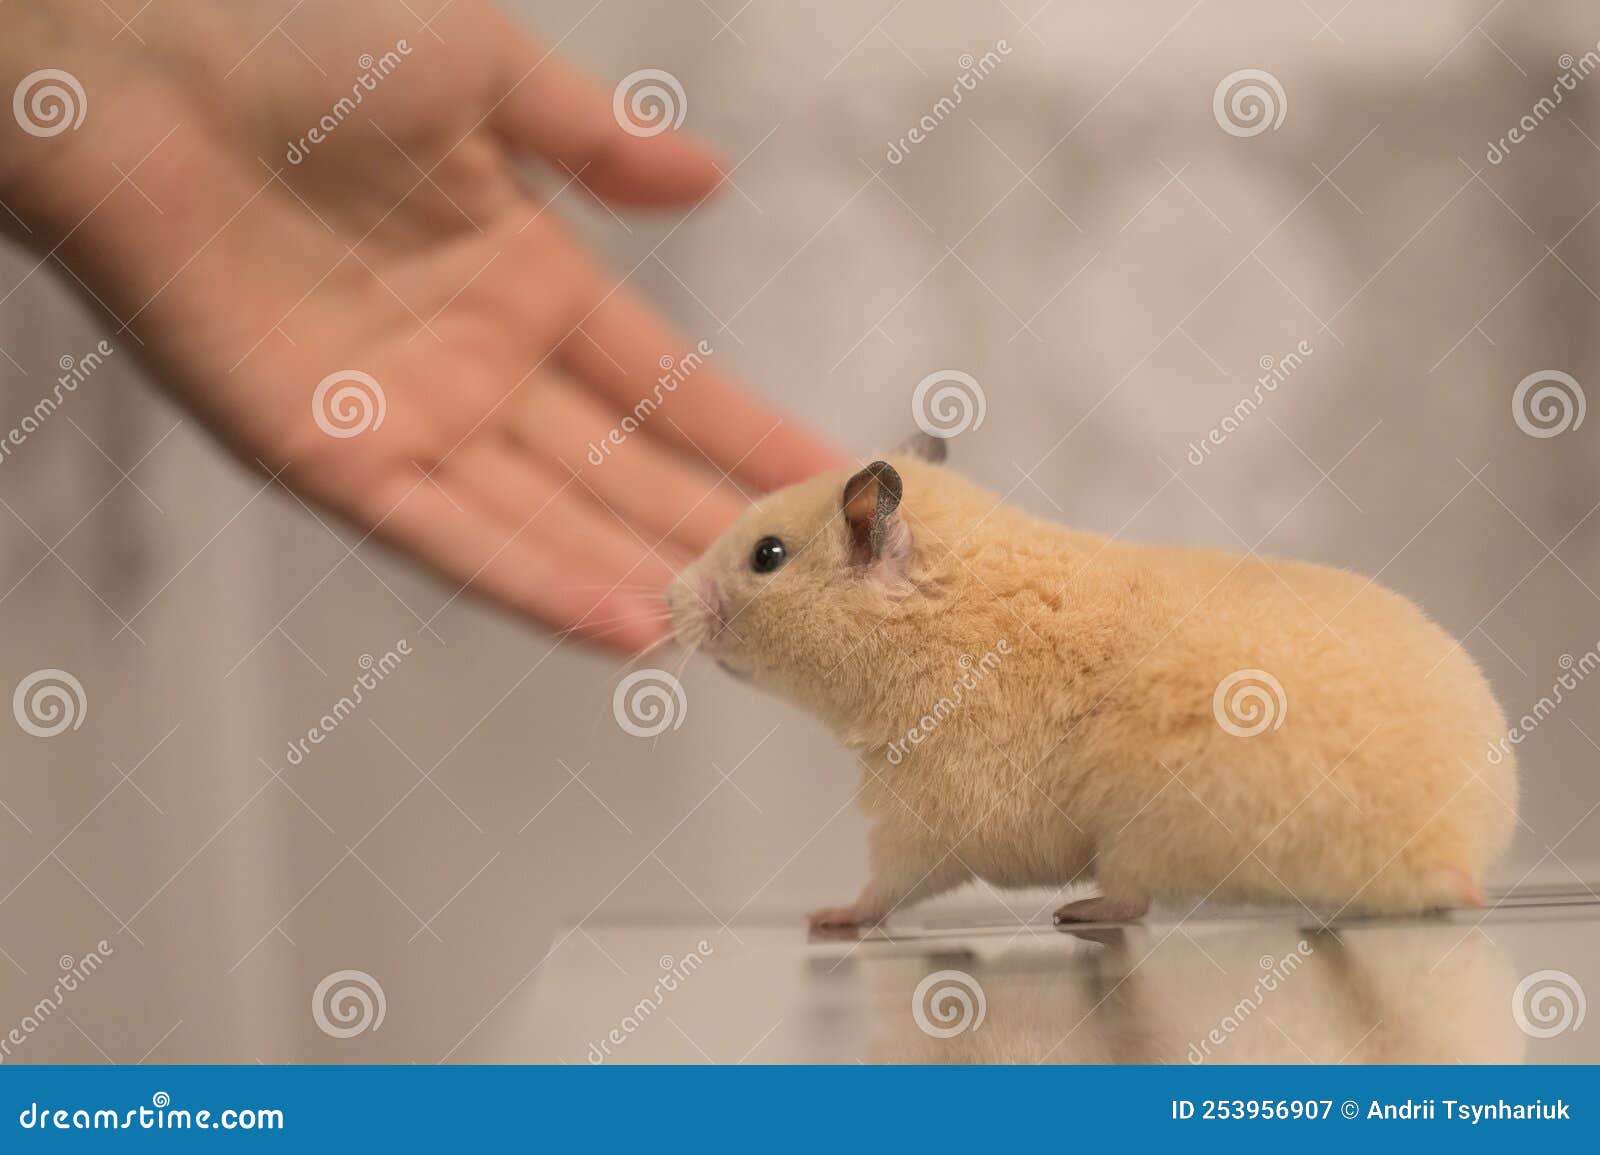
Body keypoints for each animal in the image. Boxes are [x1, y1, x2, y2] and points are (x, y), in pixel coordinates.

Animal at [665, 438, 1518, 928]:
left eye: (767, 556)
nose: (672, 598)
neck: (934, 615)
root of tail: (1456, 846)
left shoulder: (934, 813)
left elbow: (889, 883)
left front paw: (829, 915)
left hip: (1153, 823)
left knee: (1132, 901)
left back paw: (1079, 912)